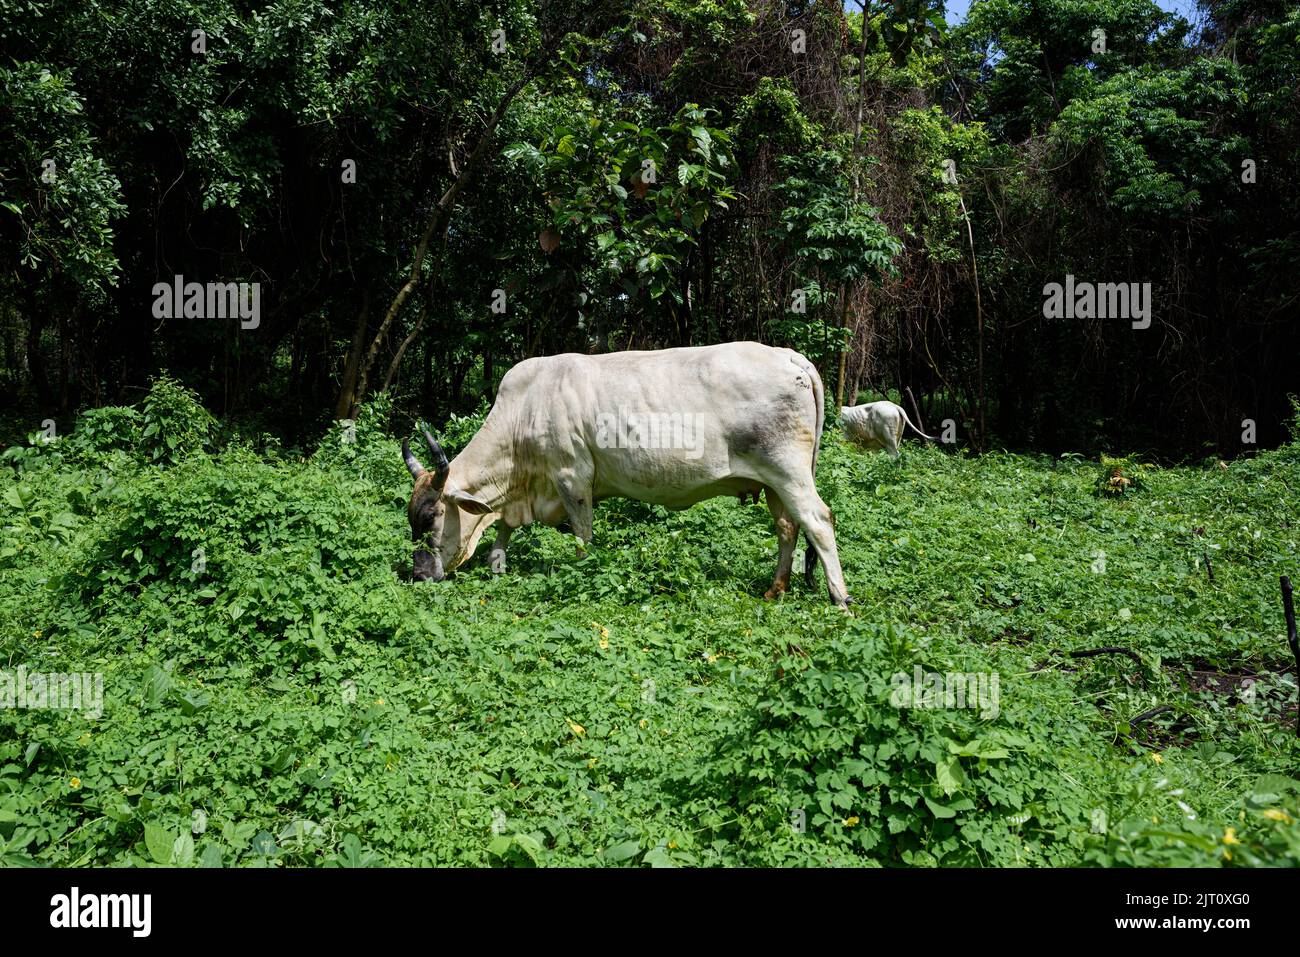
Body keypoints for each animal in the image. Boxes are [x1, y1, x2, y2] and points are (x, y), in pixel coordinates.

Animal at [401, 342, 852, 605]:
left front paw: (582, 576)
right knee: (787, 527)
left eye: (434, 516)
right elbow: (502, 536)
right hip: (773, 482)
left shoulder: (571, 478)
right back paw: (775, 589)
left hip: (789, 471)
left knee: (818, 520)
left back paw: (840, 599)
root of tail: (789, 355)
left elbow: (582, 538)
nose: (419, 576)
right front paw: (498, 569)